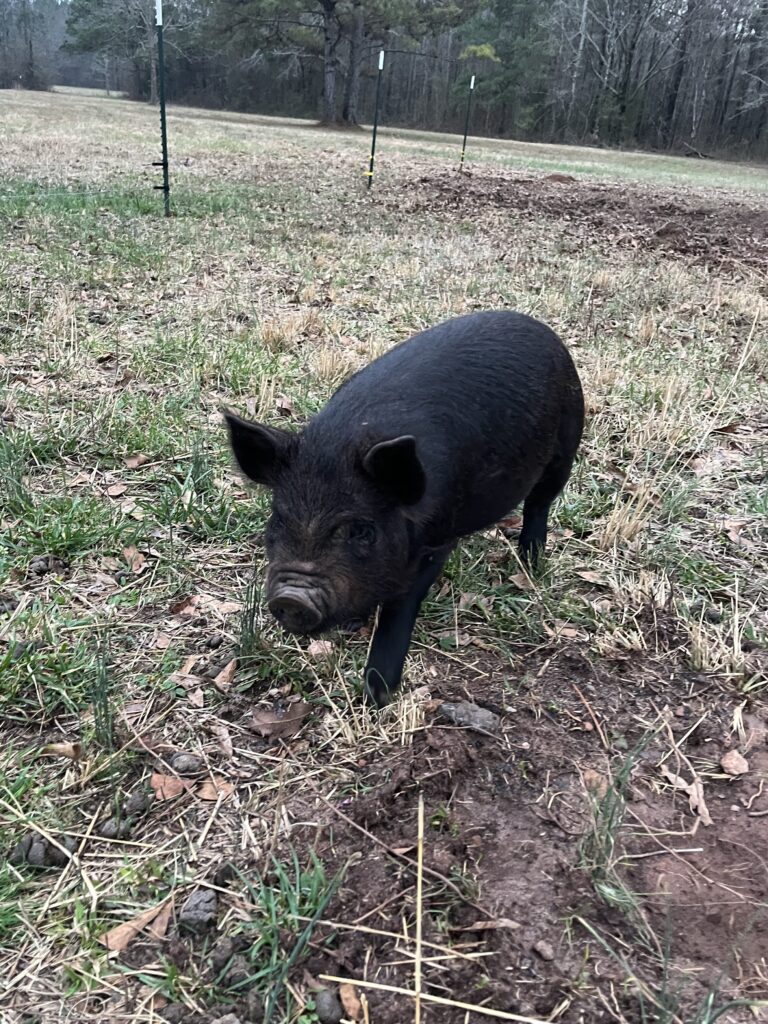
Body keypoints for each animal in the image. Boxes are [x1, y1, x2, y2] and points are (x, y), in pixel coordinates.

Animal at [224, 310, 584, 708]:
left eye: (362, 530)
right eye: (279, 518)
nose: (293, 598)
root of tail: (538, 327)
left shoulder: (437, 539)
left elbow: (401, 604)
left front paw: (377, 694)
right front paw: (353, 627)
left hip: (566, 444)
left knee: (540, 502)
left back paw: (531, 560)